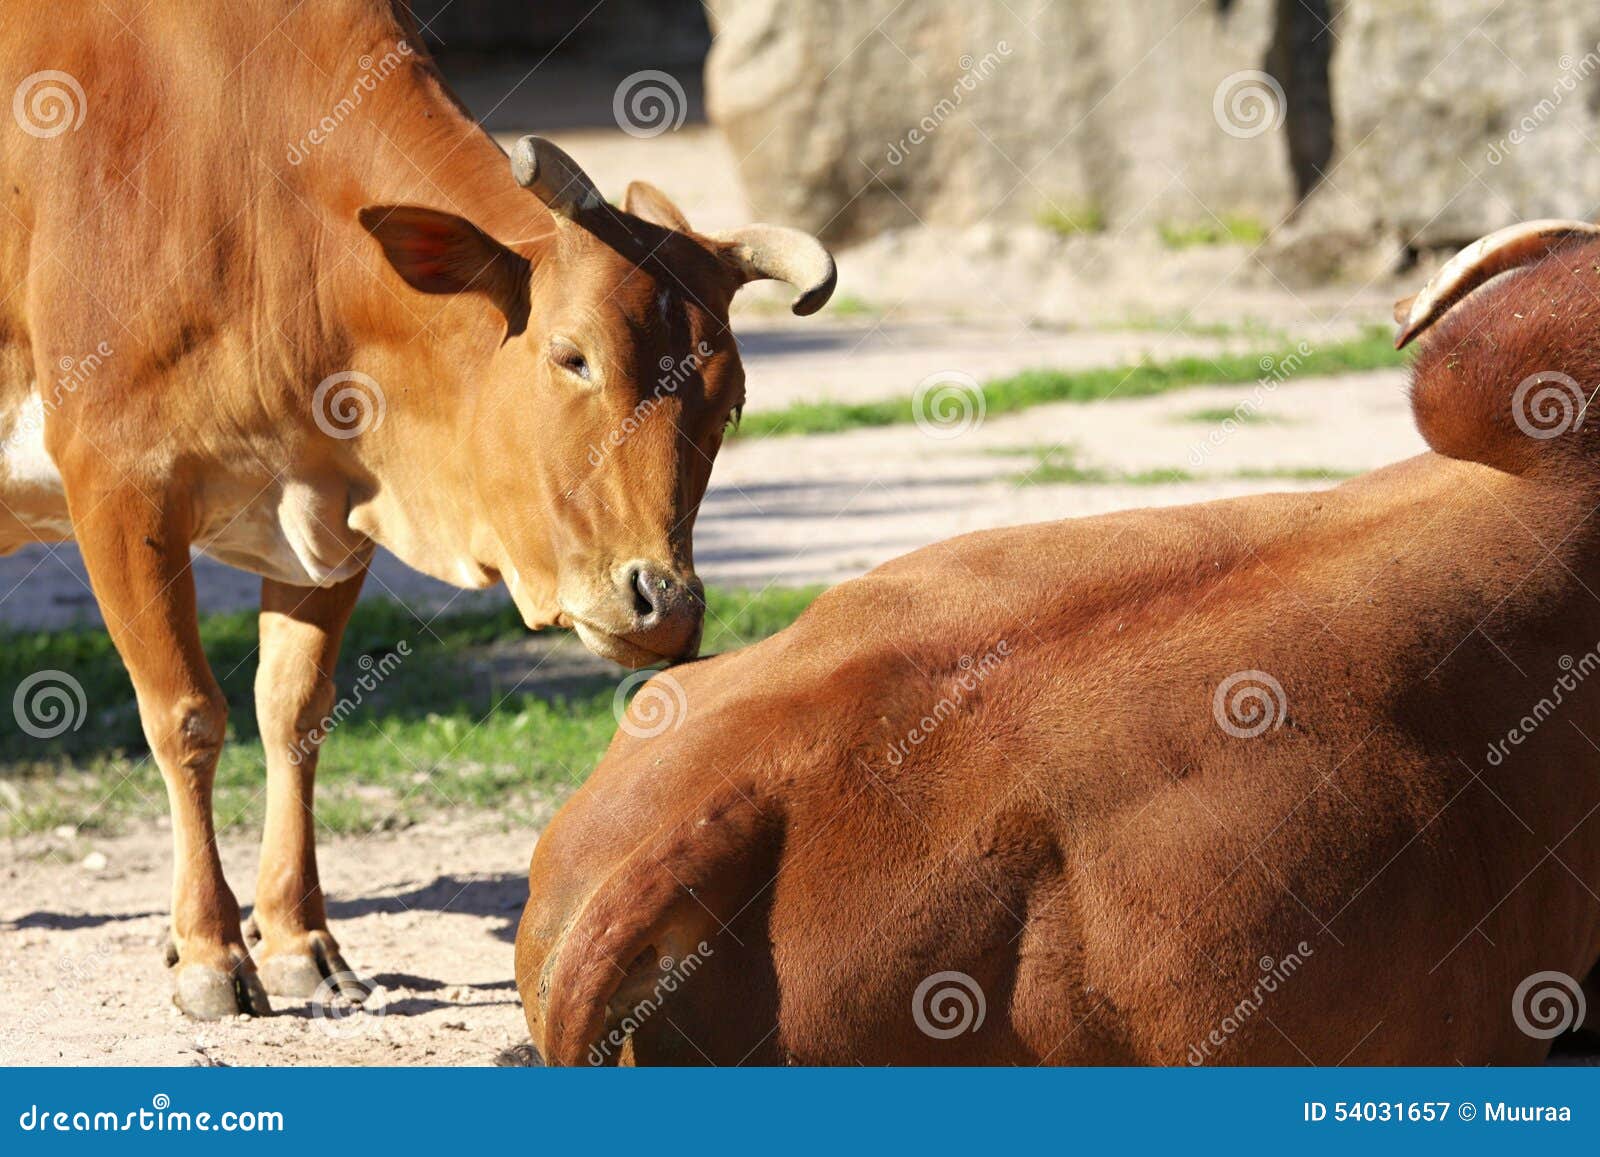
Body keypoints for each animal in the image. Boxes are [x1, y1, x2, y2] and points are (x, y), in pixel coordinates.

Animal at [0, 0, 835, 1019]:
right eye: (574, 355)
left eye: (733, 399)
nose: (663, 602)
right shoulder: (119, 484)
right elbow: (187, 717)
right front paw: (209, 950)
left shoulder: (324, 514)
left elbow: (295, 711)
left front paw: (298, 940)